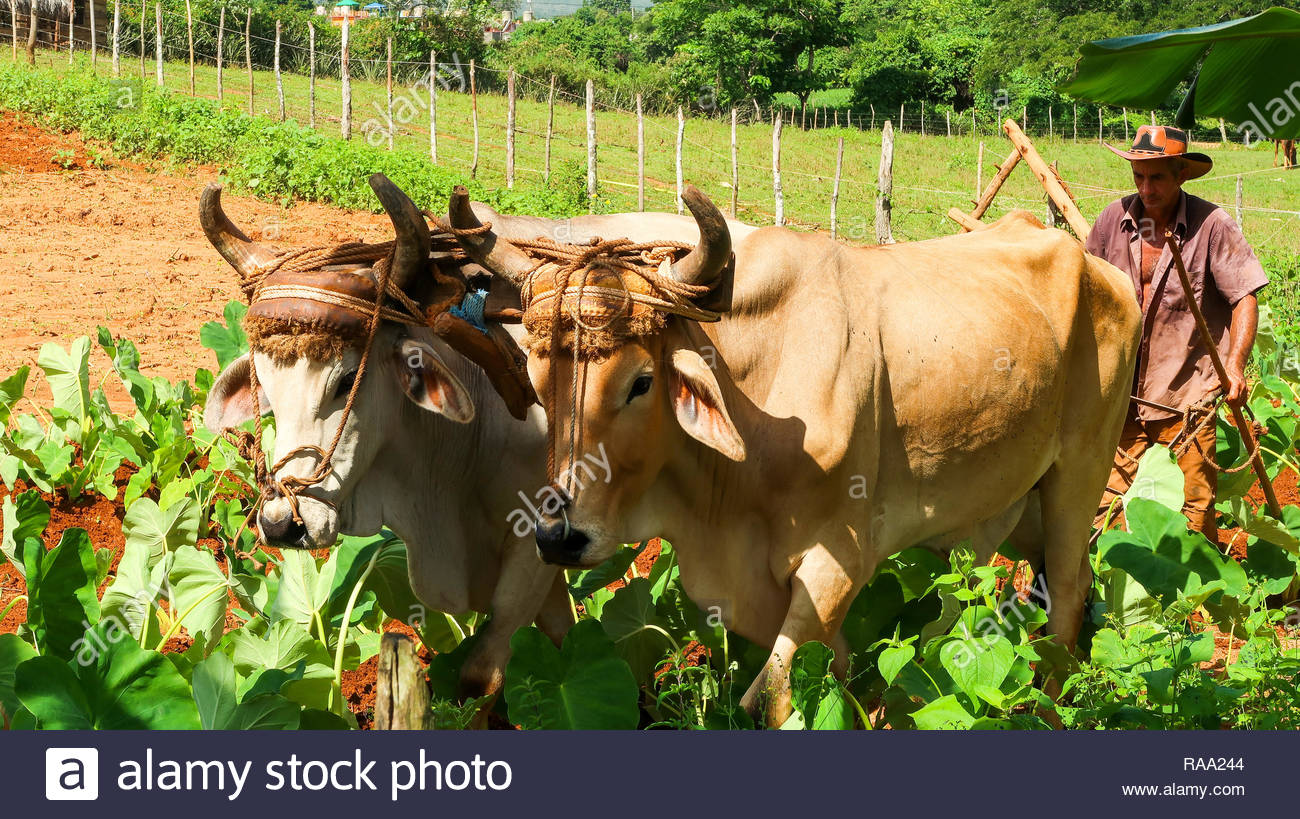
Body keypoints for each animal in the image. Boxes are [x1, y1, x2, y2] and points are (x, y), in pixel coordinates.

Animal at [200, 178, 752, 703]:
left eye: (346, 379)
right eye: (264, 383)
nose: (281, 524)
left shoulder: (537, 542)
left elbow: (480, 673)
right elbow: (559, 634)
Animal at [446, 186, 1142, 726]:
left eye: (640, 382)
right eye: (539, 382)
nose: (558, 536)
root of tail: (1097, 267)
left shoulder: (838, 561)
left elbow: (776, 695)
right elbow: (833, 671)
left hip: (1080, 474)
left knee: (1070, 590)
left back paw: (1050, 711)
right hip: (1018, 502)